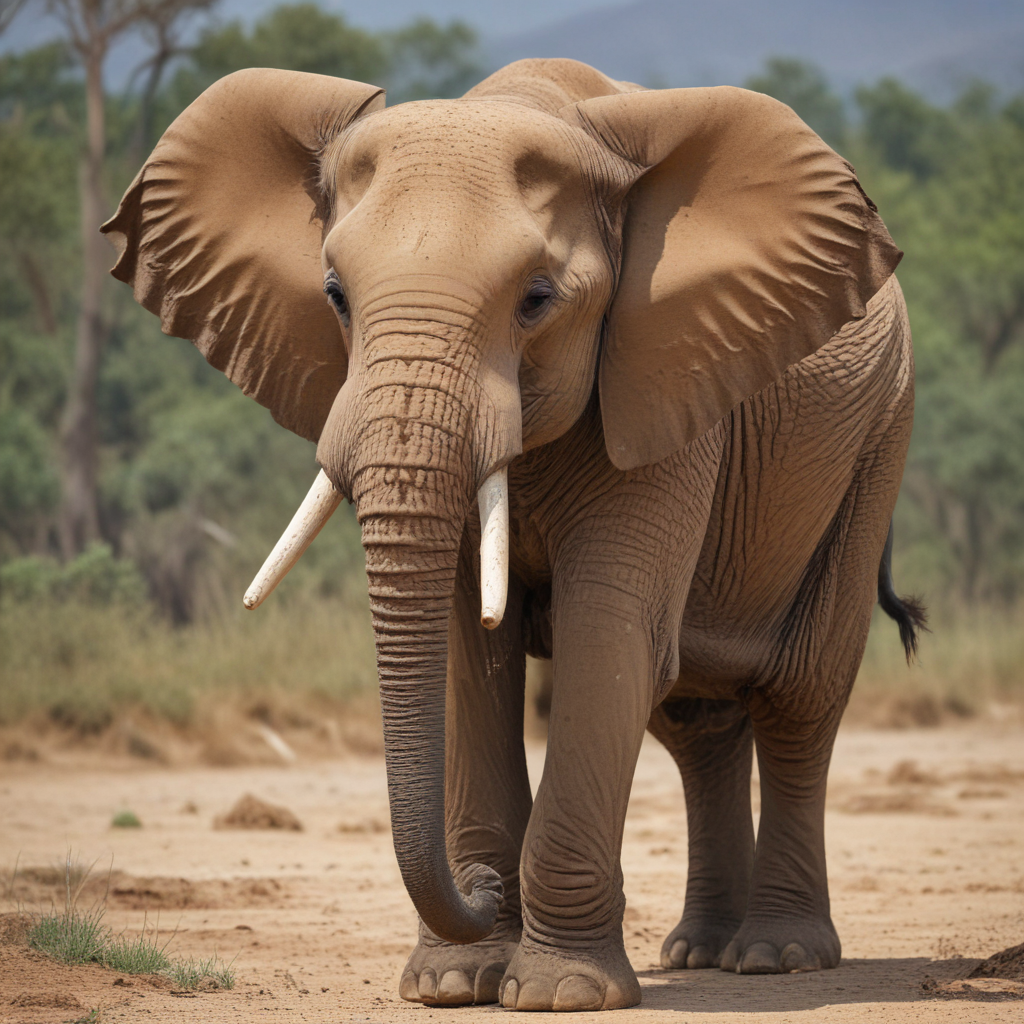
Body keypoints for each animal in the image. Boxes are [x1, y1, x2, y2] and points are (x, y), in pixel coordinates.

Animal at [103, 58, 925, 1012]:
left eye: (536, 301)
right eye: (335, 297)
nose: (482, 885)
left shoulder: (658, 384)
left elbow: (609, 634)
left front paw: (558, 993)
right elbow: (470, 650)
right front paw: (456, 982)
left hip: (878, 439)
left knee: (801, 697)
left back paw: (775, 957)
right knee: (696, 720)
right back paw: (697, 953)